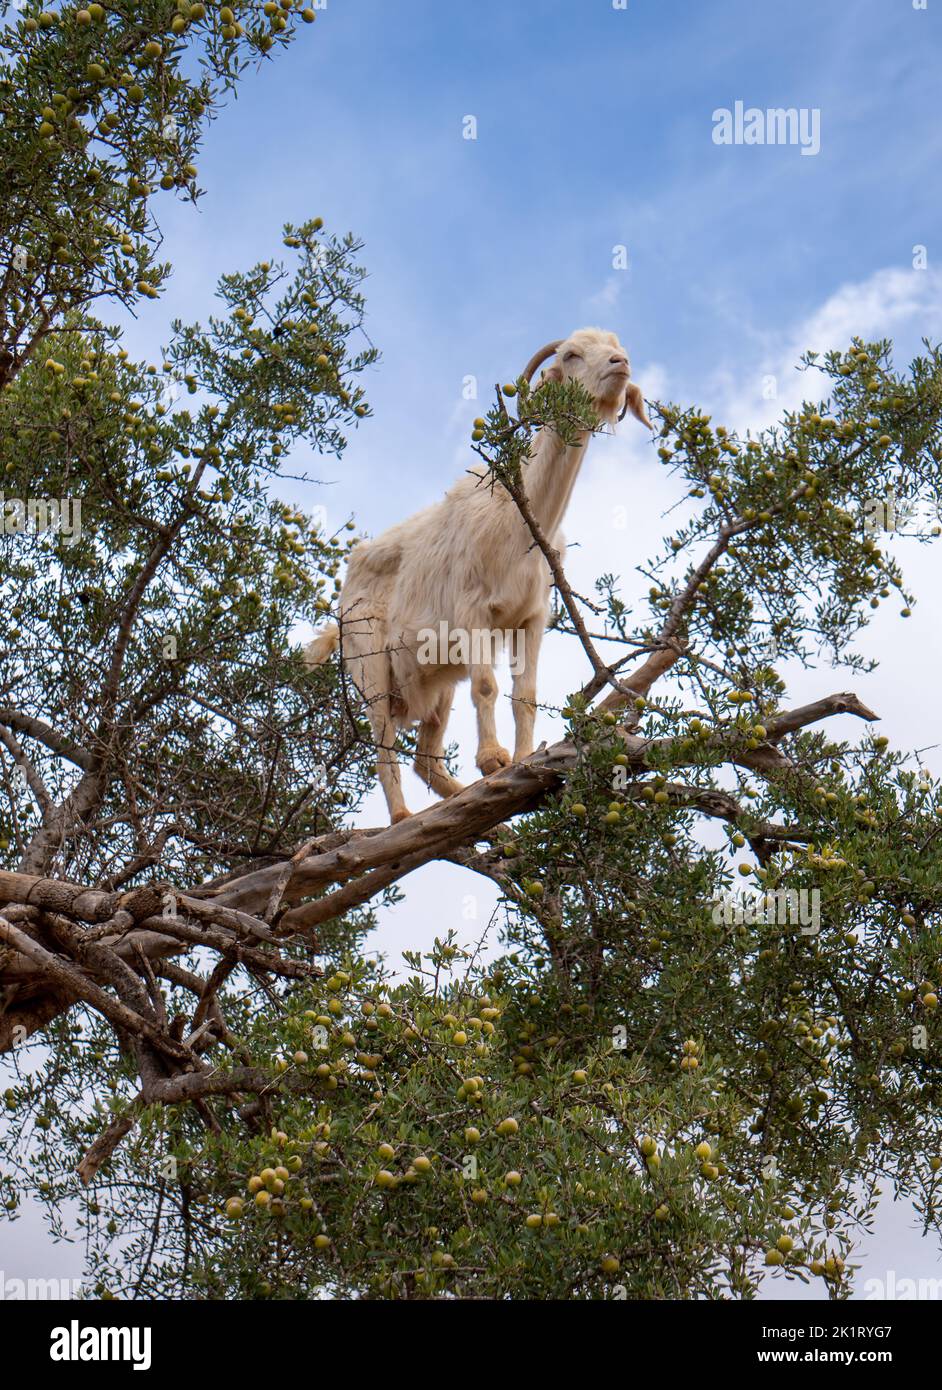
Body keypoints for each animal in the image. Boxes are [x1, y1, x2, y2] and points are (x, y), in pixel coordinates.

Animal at [304, 327, 652, 823]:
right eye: (571, 354)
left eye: (616, 348)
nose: (619, 364)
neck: (516, 524)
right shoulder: (472, 612)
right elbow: (487, 686)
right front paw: (493, 759)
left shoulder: (532, 618)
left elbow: (525, 693)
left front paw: (524, 760)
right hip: (367, 660)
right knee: (383, 740)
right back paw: (402, 817)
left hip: (436, 677)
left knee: (425, 757)